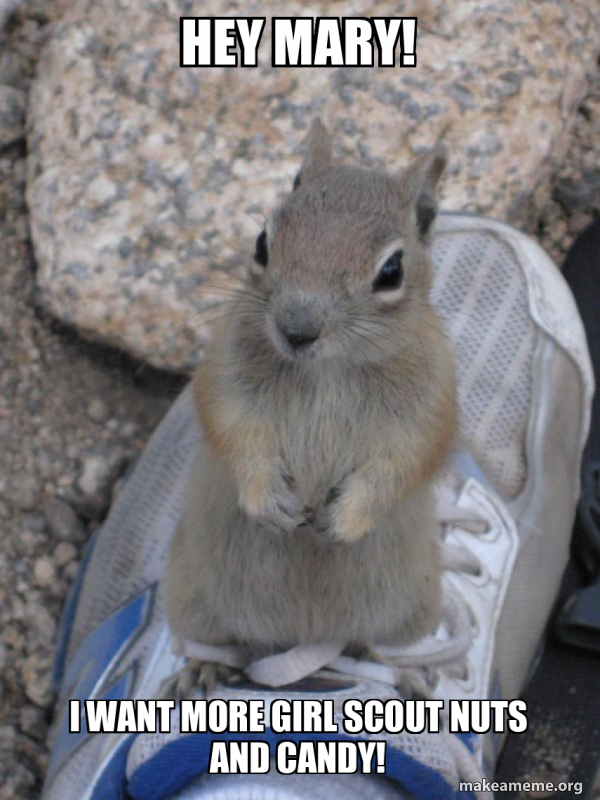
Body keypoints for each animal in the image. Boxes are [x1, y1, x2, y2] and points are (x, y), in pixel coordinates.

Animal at [166, 119, 457, 684]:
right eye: (263, 242)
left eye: (392, 271)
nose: (296, 329)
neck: (325, 371)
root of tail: (307, 634)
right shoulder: (227, 377)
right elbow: (235, 432)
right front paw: (268, 499)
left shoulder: (428, 407)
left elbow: (402, 462)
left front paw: (345, 518)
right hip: (190, 596)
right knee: (226, 645)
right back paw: (203, 672)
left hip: (414, 610)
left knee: (369, 644)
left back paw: (397, 673)